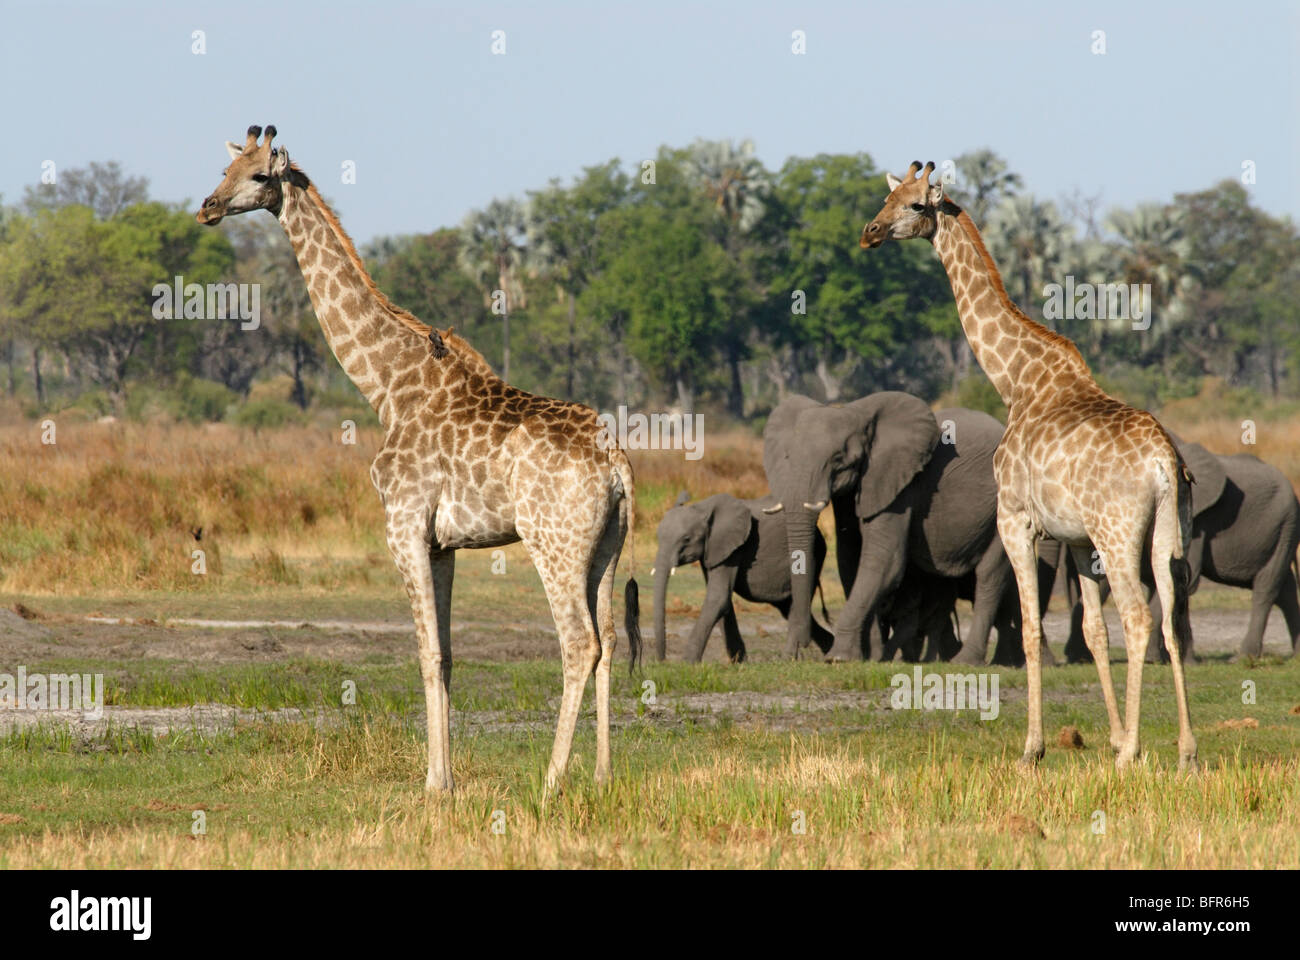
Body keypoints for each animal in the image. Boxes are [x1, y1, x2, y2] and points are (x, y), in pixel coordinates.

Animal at [652, 491, 833, 662]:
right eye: (658, 537)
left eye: (686, 539)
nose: (663, 661)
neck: (702, 507)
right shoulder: (713, 550)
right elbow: (722, 600)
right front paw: (740, 662)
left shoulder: (734, 547)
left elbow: (717, 597)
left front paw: (687, 663)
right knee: (787, 608)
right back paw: (830, 651)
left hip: (813, 556)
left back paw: (788, 659)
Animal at [763, 393, 1014, 663]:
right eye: (787, 458)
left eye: (839, 461)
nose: (794, 652)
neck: (856, 413)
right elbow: (849, 557)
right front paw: (869, 657)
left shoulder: (899, 487)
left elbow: (884, 559)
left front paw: (840, 657)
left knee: (989, 575)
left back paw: (966, 661)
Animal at [1063, 438, 1300, 662]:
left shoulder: (1192, 521)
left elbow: (1180, 577)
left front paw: (1154, 659)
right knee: (1285, 590)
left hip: (1286, 524)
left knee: (1266, 588)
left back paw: (1240, 658)